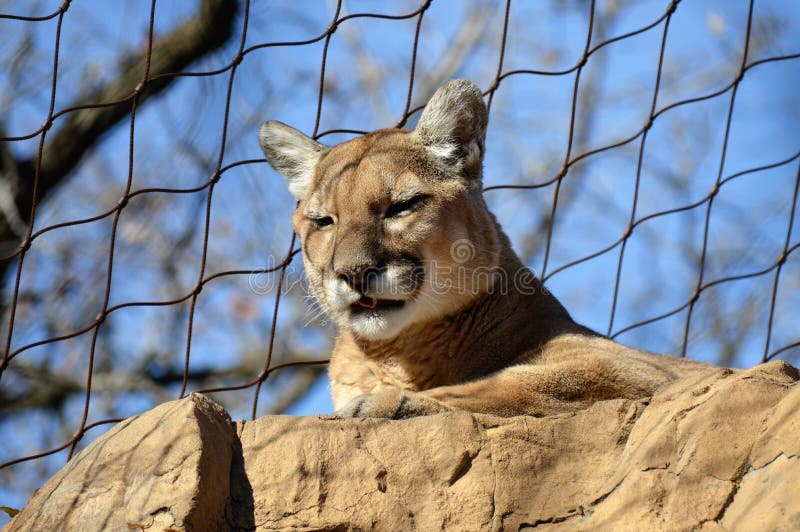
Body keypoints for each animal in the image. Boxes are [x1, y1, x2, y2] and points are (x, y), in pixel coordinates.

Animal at [258, 79, 710, 419]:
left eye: (403, 206)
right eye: (324, 221)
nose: (353, 273)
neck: (394, 354)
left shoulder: (632, 370)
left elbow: (508, 385)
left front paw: (382, 404)